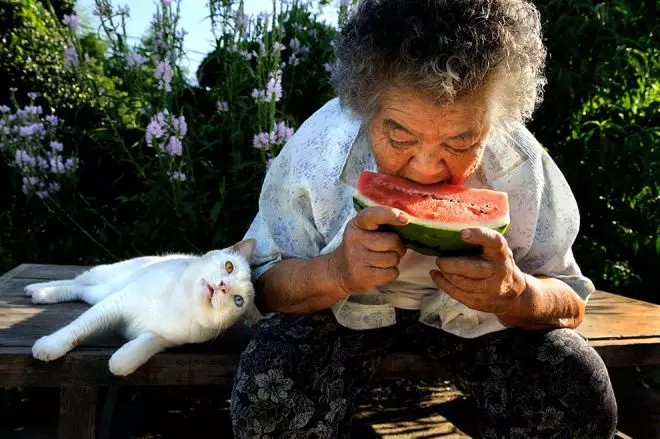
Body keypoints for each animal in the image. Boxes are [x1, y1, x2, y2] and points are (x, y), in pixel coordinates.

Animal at [23, 239, 260, 376]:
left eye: (238, 300)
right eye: (229, 266)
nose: (222, 286)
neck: (182, 303)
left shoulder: (162, 339)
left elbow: (139, 349)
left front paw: (119, 362)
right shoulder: (116, 302)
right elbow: (79, 327)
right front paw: (50, 346)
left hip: (101, 292)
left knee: (81, 290)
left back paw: (38, 293)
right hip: (108, 279)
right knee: (77, 281)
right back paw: (36, 290)